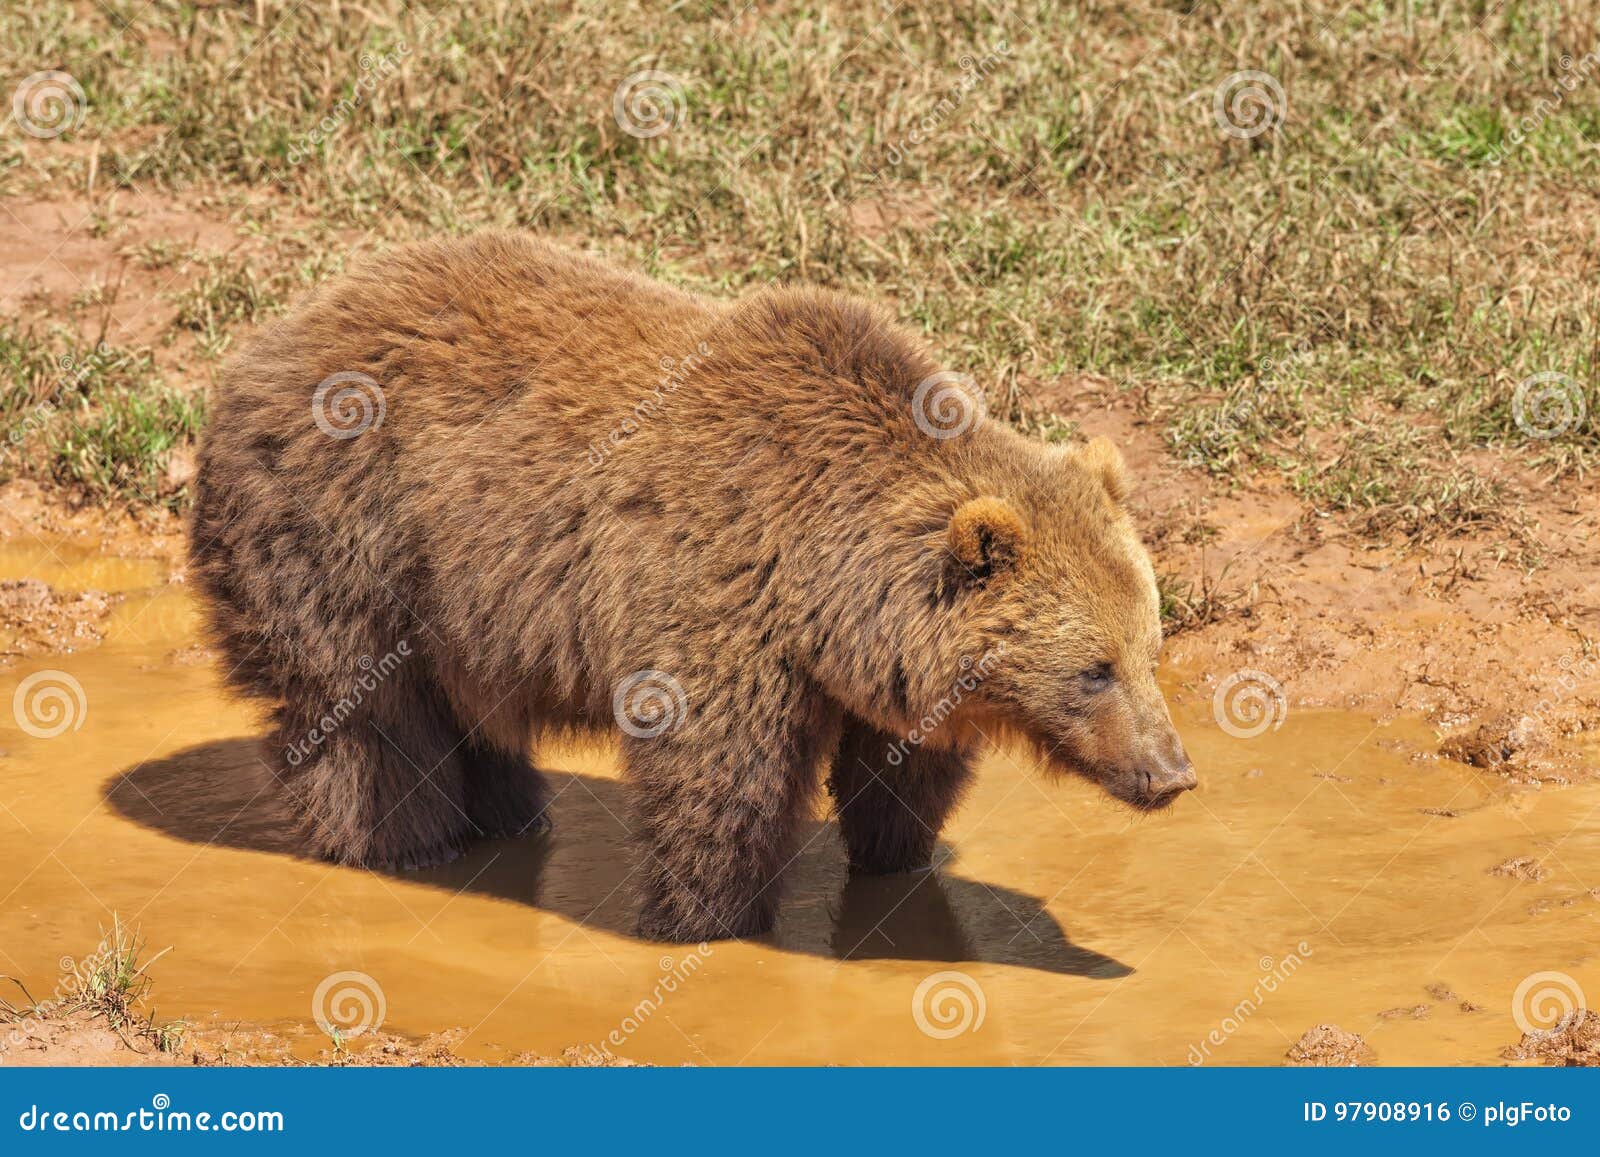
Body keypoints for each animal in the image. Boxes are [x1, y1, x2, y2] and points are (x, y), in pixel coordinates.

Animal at [189, 232, 1195, 943]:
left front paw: (899, 855)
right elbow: (720, 781)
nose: (1174, 771)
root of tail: (261, 343)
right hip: (343, 537)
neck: (828, 581)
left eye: (1151, 650)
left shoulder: (884, 663)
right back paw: (402, 843)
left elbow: (900, 771)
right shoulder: (720, 602)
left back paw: (508, 814)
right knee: (364, 721)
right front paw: (706, 918)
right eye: (1095, 669)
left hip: (451, 602)